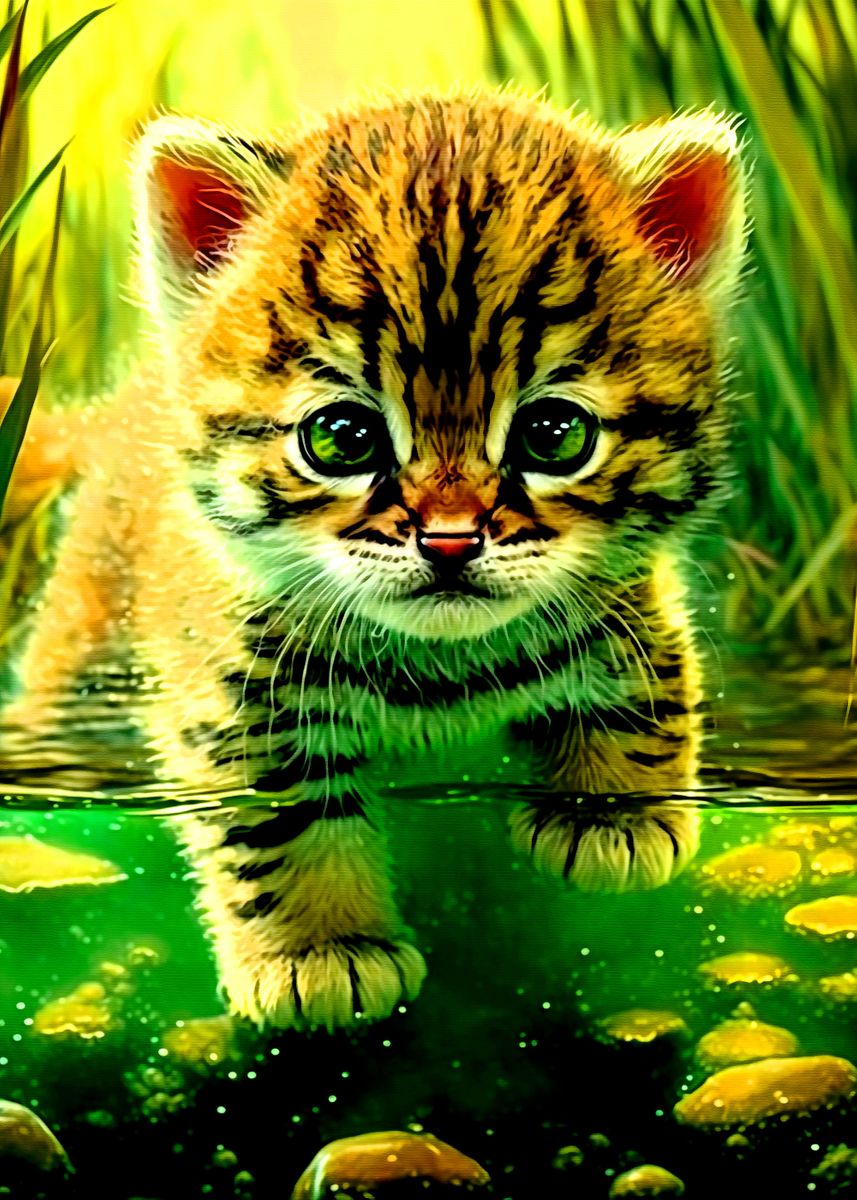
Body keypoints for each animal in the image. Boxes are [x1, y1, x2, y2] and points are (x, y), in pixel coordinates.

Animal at [0, 86, 748, 1031]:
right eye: (340, 438)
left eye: (555, 434)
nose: (450, 539)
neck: (441, 669)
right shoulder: (230, 698)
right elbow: (277, 817)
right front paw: (321, 951)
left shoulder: (631, 596)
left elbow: (651, 676)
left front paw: (614, 815)